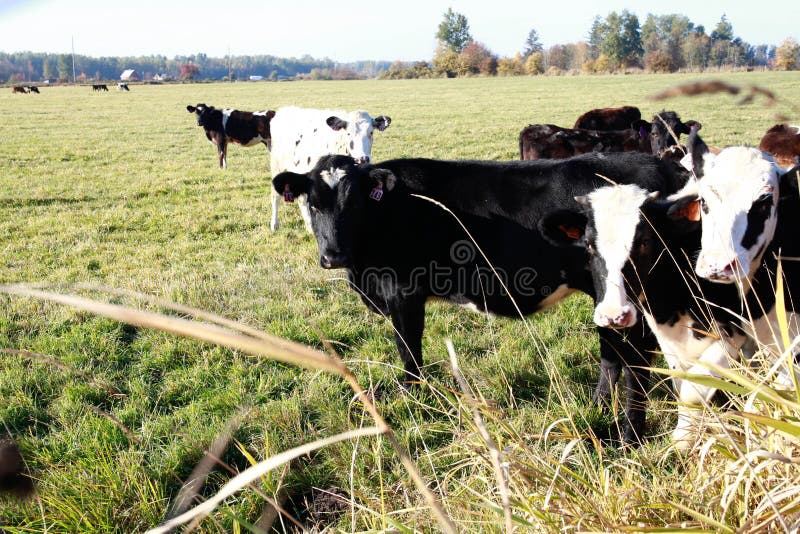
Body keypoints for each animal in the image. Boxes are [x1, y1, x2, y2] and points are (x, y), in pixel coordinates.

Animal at [272, 152, 690, 444]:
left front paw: (413, 396)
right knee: (611, 350)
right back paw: (600, 405)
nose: (333, 256)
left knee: (633, 359)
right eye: (312, 204)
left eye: (355, 203)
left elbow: (409, 349)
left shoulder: (404, 292)